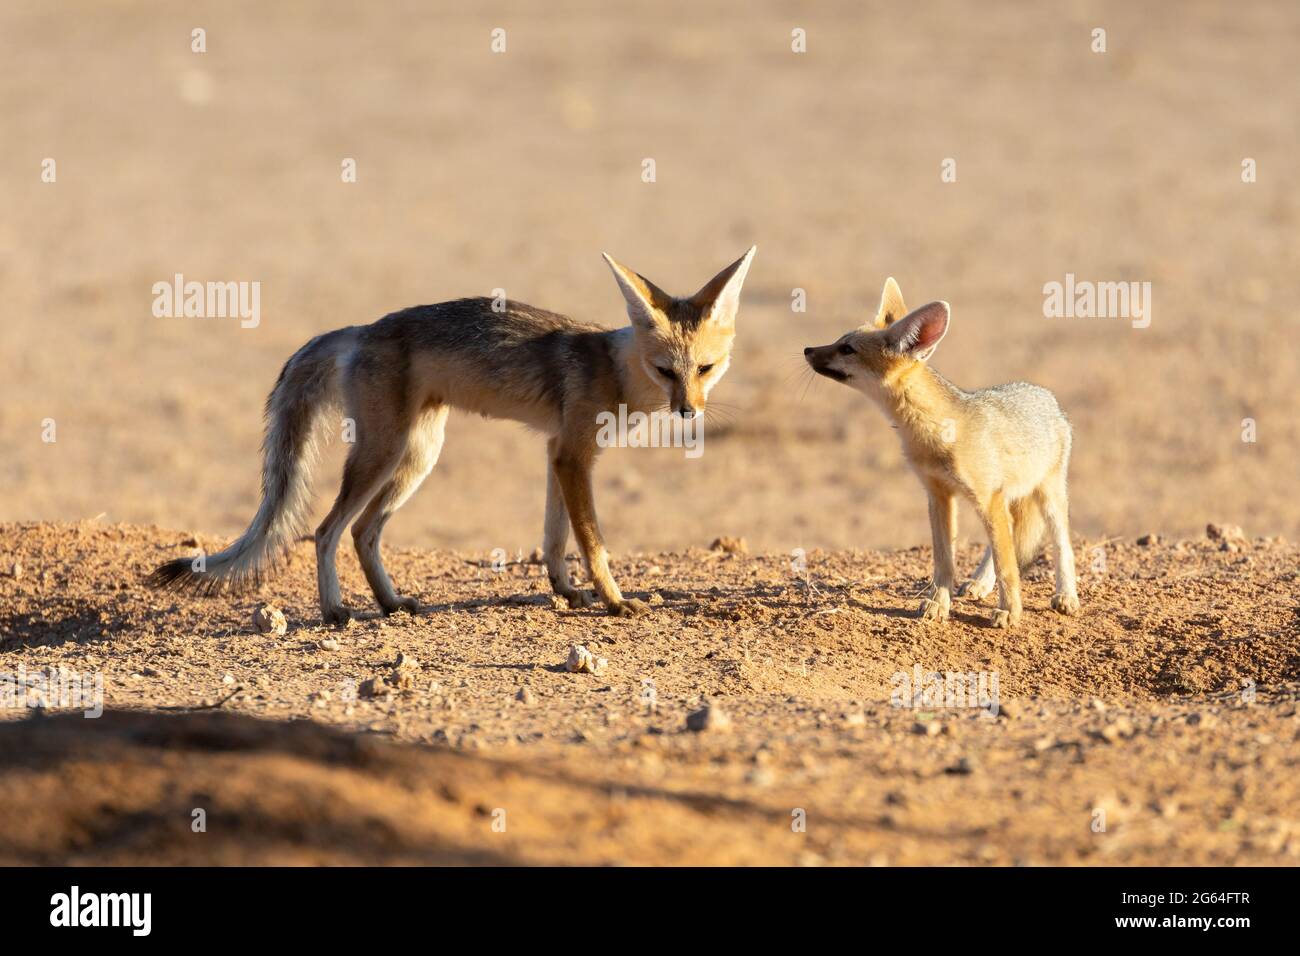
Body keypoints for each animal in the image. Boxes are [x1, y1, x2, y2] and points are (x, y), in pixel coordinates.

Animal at [149, 247, 757, 623]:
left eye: (705, 370)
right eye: (665, 370)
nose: (688, 412)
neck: (613, 367)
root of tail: (362, 328)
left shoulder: (557, 452)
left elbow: (555, 536)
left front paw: (565, 591)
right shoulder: (574, 455)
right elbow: (593, 543)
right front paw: (613, 601)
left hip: (418, 458)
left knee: (362, 532)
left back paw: (391, 603)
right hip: (384, 454)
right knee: (325, 531)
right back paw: (334, 611)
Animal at [803, 277, 1079, 628]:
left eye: (847, 348)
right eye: (839, 340)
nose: (807, 349)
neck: (933, 432)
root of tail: (1044, 394)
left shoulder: (986, 498)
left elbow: (1008, 565)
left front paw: (1009, 611)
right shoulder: (938, 495)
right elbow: (945, 560)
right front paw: (938, 603)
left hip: (1048, 496)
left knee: (1060, 545)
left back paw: (1066, 595)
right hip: (1006, 499)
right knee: (1001, 545)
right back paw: (979, 583)